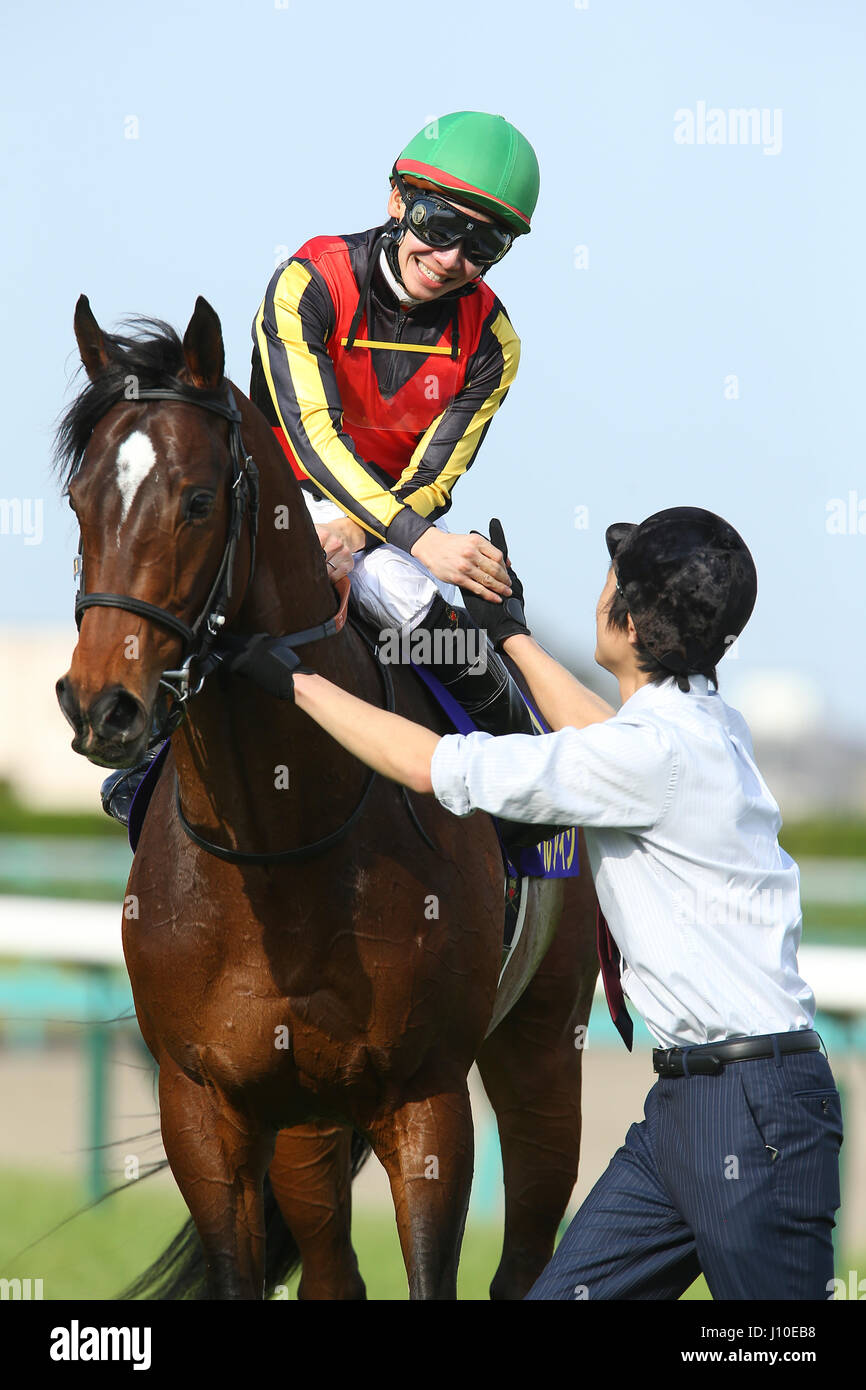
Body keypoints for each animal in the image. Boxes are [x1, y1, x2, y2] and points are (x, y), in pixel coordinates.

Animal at [55, 294, 600, 1300]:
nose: (101, 704)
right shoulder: (205, 1105)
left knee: (527, 1250)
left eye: (197, 500)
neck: (279, 845)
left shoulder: (426, 1097)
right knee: (330, 1270)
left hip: (544, 1048)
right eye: (78, 501)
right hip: (308, 1118)